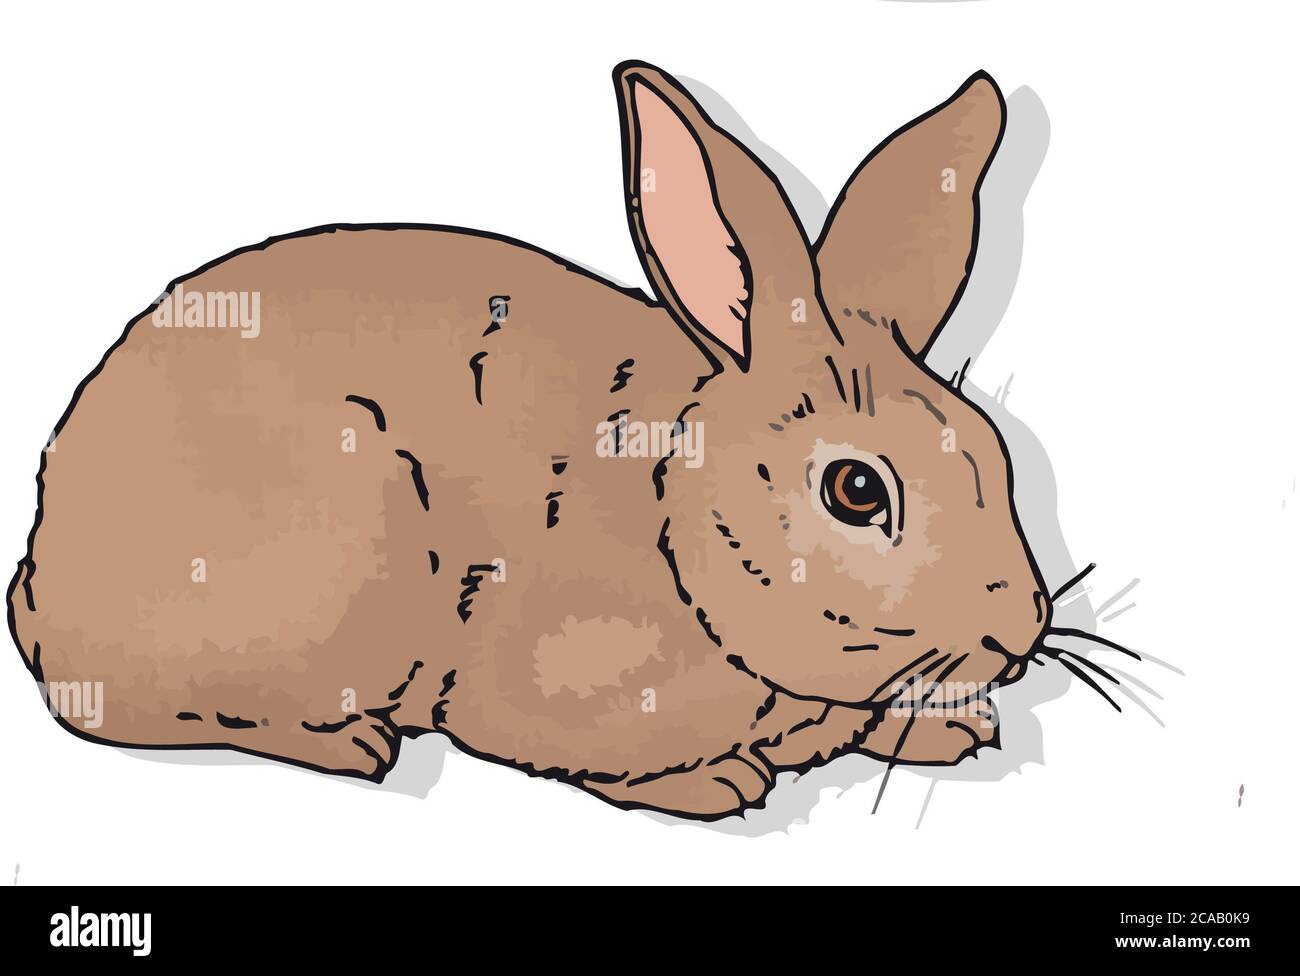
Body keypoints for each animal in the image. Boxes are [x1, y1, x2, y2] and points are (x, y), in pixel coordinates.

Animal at [7, 60, 1054, 820]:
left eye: (994, 454)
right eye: (855, 491)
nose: (1019, 632)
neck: (680, 521)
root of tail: (42, 574)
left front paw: (956, 729)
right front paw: (718, 786)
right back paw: (351, 745)